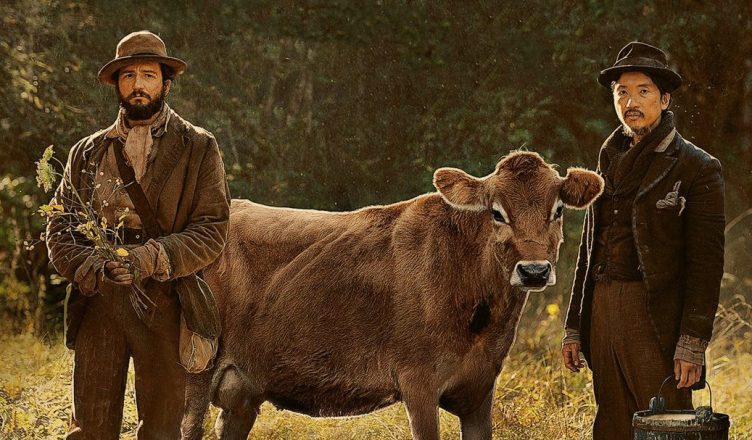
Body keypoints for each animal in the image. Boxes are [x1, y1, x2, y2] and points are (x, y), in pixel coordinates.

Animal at [180, 151, 603, 440]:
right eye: (497, 213)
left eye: (558, 209)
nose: (534, 270)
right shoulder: (418, 380)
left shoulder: (480, 389)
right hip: (193, 374)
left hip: (242, 392)